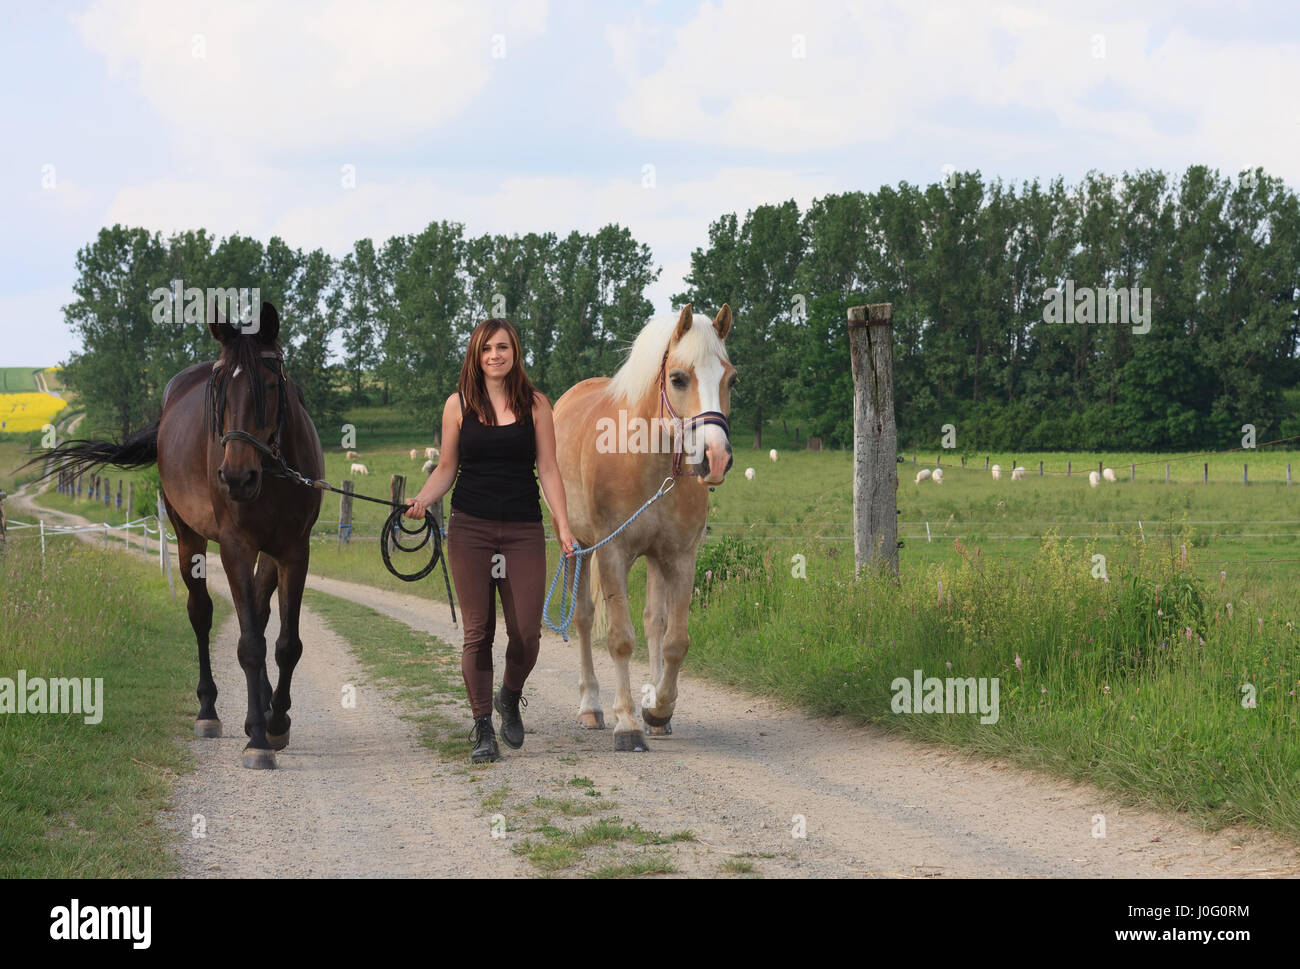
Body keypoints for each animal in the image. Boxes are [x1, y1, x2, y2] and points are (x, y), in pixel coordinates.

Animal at [29, 299, 323, 768]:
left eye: (271, 384)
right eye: (219, 392)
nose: (236, 477)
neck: (274, 471)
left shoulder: (293, 551)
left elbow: (284, 643)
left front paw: (276, 723)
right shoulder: (236, 548)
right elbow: (250, 644)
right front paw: (259, 739)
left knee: (259, 614)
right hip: (189, 541)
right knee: (201, 613)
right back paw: (209, 712)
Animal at [552, 303, 735, 751]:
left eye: (731, 378)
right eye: (678, 378)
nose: (716, 458)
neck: (647, 462)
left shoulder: (681, 556)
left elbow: (674, 640)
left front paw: (658, 708)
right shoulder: (612, 553)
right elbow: (620, 638)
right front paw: (628, 723)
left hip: (652, 557)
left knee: (655, 621)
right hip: (575, 547)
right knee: (583, 619)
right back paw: (592, 707)